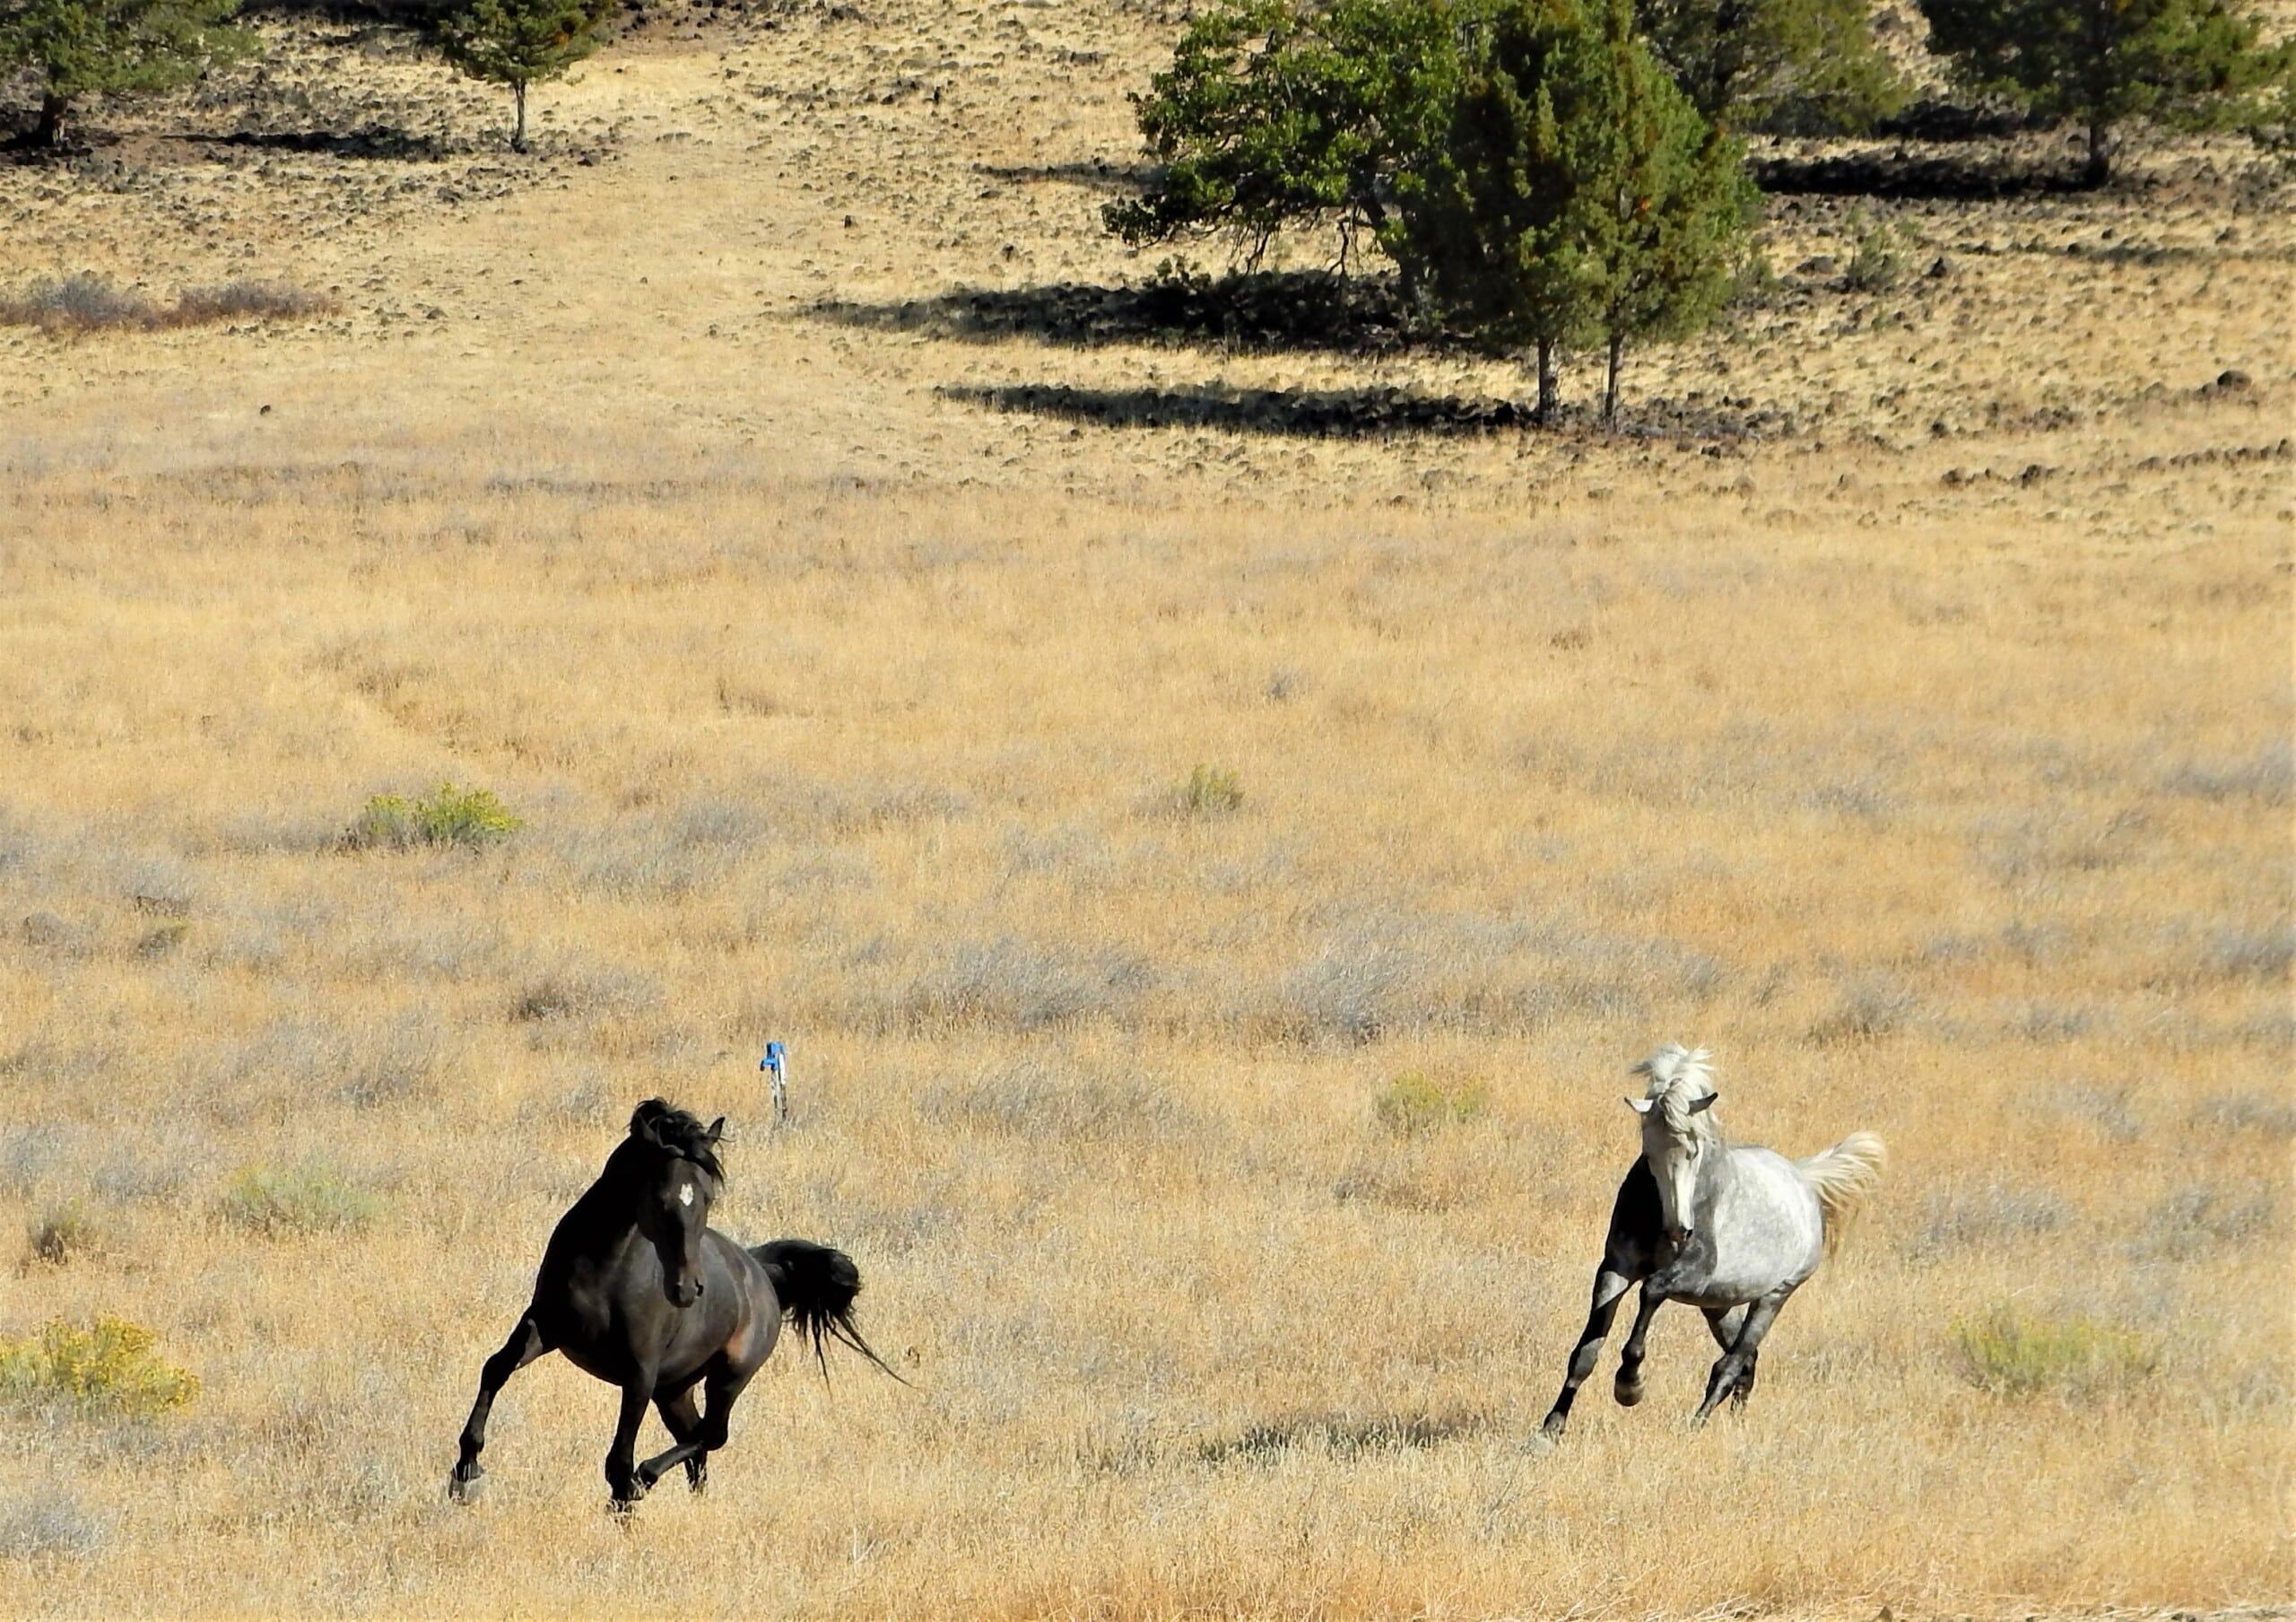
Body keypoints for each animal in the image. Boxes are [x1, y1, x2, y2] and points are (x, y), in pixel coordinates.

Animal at [450, 1099, 899, 1511]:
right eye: (660, 1198)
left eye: (708, 1198)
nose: (686, 1290)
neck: (605, 1270)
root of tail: (760, 1271)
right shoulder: (546, 1326)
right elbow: (496, 1367)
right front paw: (465, 1471)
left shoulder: (640, 1371)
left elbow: (619, 1457)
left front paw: (625, 1504)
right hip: (674, 1390)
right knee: (696, 1440)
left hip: (728, 1375)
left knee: (712, 1434)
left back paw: (645, 1479)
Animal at [1539, 1045, 1884, 1441]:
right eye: (1649, 1151)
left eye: (1694, 1150)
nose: (1680, 1231)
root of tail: (1804, 1182)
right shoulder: (1617, 1267)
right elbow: (1586, 1351)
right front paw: (1549, 1430)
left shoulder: (1694, 1273)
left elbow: (1651, 1290)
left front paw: (1629, 1385)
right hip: (1718, 1305)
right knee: (1746, 1362)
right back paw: (1734, 1422)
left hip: (1773, 1297)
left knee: (1730, 1364)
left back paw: (1694, 1426)